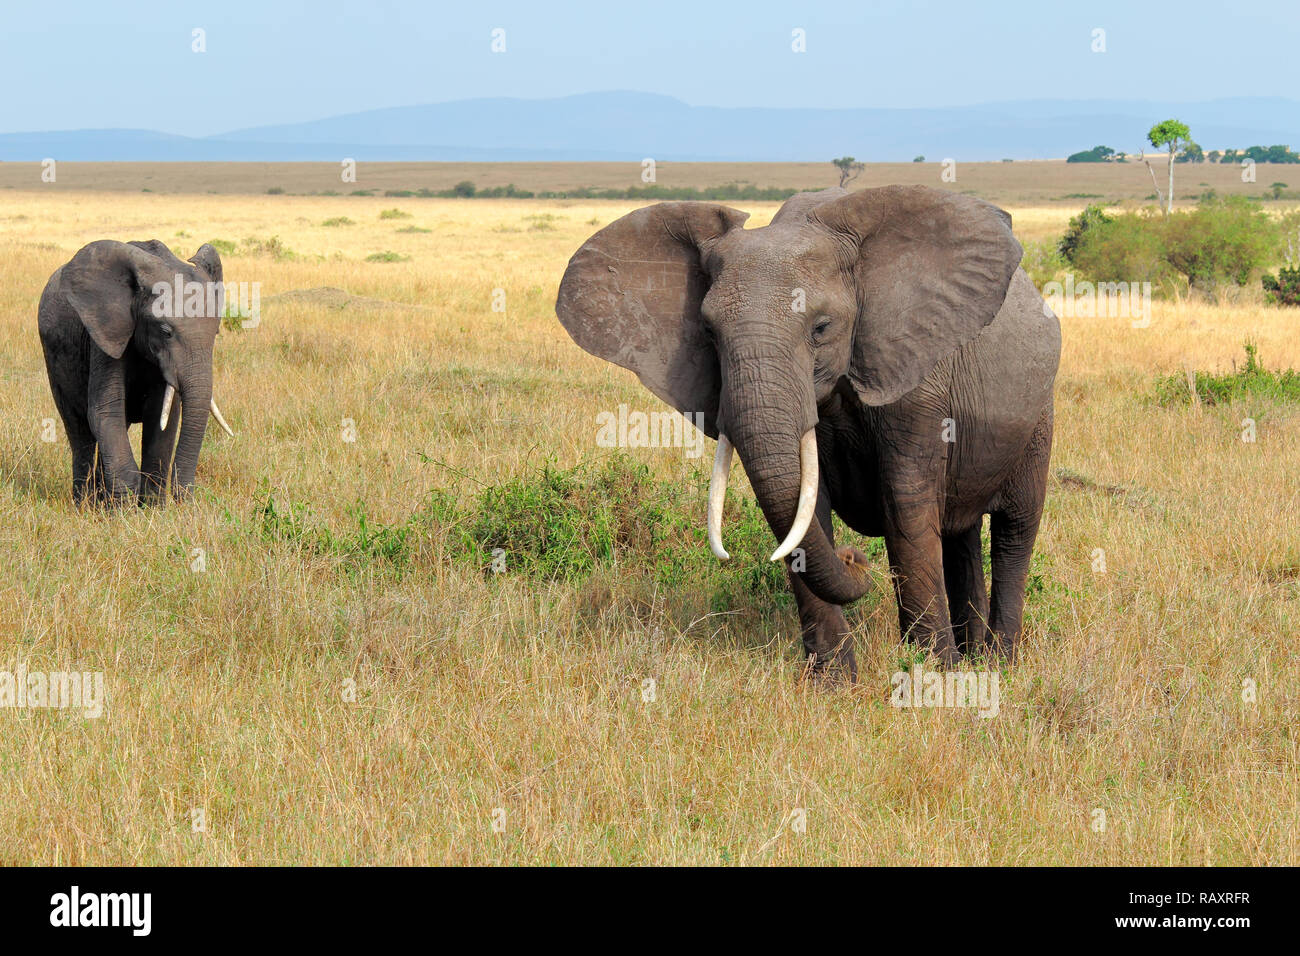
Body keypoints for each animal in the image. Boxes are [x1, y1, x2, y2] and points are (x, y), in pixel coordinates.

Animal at [37, 239, 234, 506]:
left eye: (215, 332)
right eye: (165, 331)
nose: (184, 499)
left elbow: (162, 418)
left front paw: (152, 509)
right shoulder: (105, 335)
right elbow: (105, 410)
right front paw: (124, 509)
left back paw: (101, 502)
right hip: (53, 358)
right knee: (79, 430)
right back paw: (85, 505)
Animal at [556, 185, 1060, 679]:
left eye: (820, 328)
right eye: (709, 333)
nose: (855, 559)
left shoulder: (918, 382)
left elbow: (906, 507)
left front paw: (934, 678)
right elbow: (805, 508)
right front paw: (835, 683)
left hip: (1040, 415)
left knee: (1015, 530)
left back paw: (998, 664)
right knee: (961, 535)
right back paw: (976, 658)